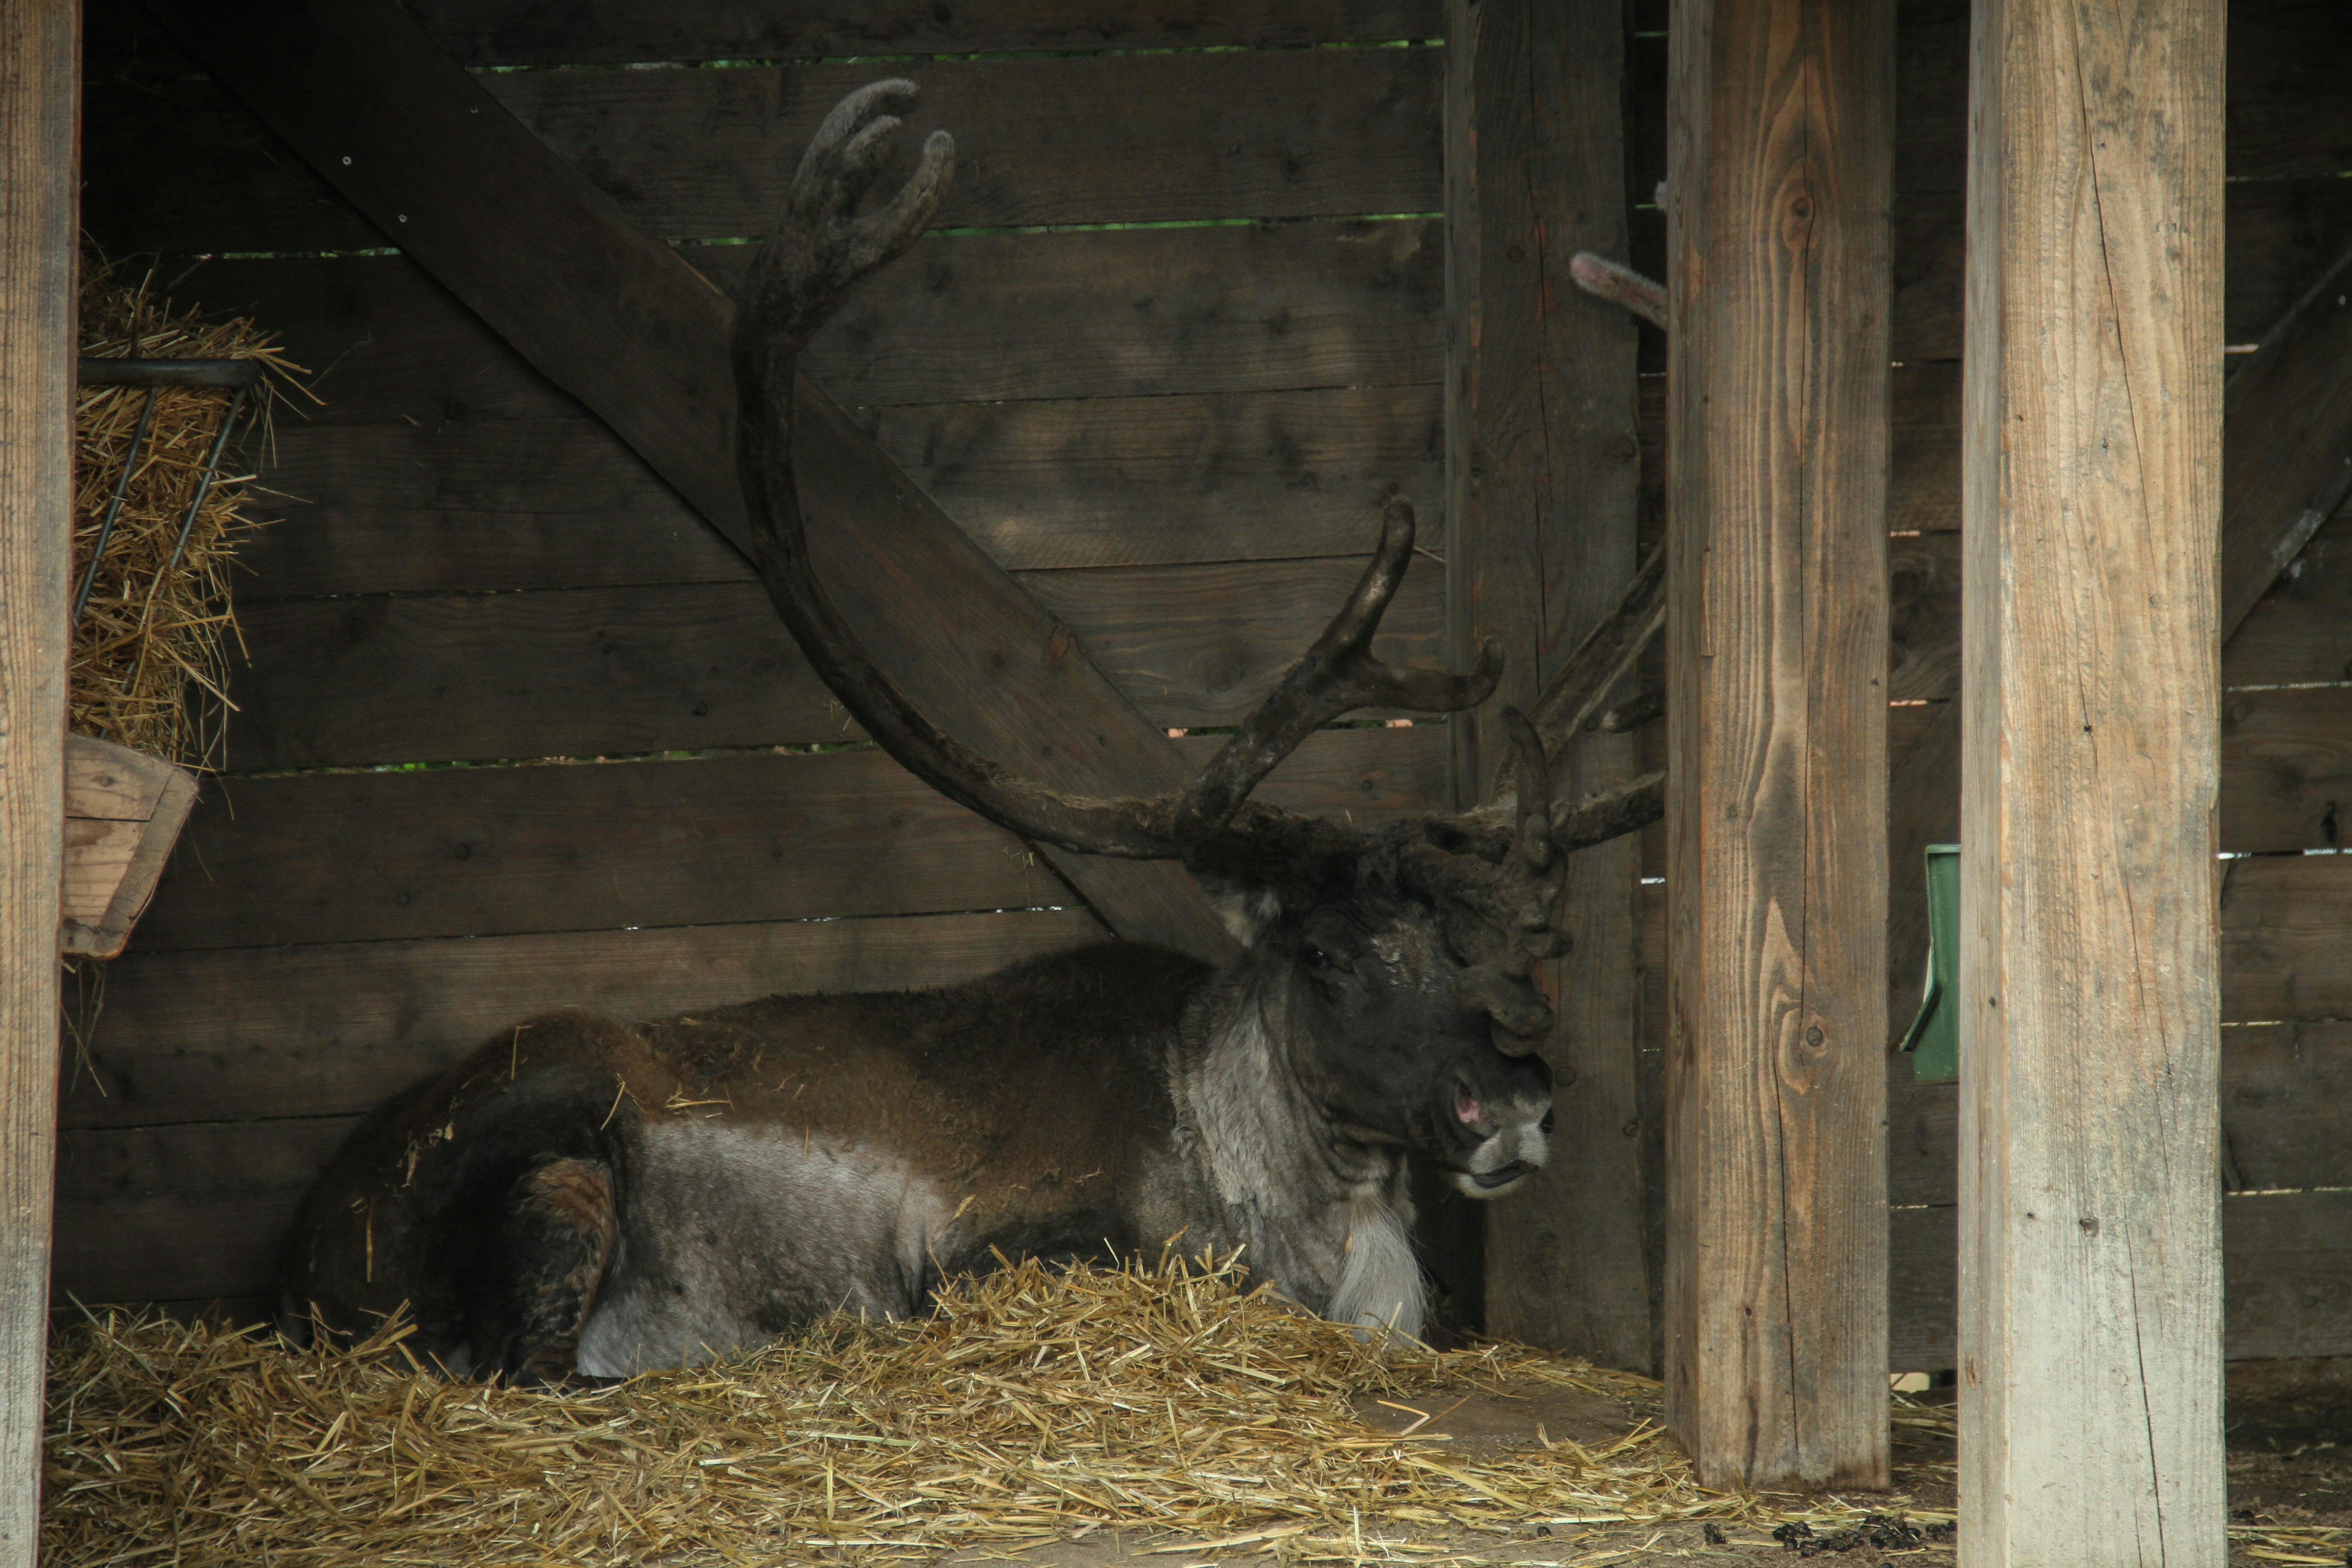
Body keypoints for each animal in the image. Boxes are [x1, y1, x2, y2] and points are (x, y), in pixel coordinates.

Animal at [279, 82, 1667, 1381]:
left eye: (1483, 942)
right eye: (1325, 953)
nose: (1518, 1103)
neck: (1276, 1178)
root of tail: (306, 1248)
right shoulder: (999, 1248)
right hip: (559, 1144)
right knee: (529, 1369)